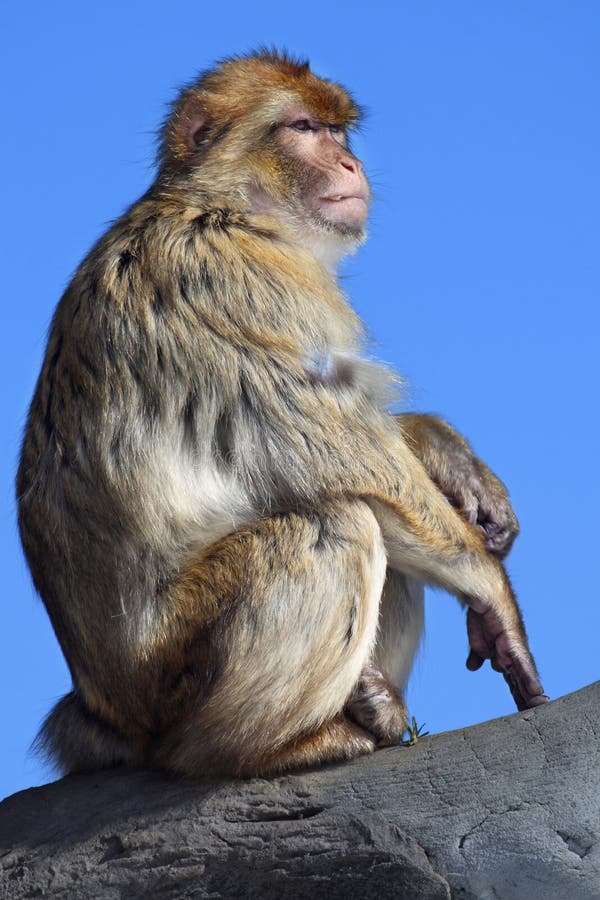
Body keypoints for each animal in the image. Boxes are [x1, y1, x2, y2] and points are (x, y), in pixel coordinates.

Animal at [17, 51, 546, 779]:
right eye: (302, 128)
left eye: (339, 129)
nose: (351, 164)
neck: (222, 206)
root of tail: (106, 716)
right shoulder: (248, 282)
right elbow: (352, 461)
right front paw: (495, 598)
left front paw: (447, 453)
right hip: (175, 671)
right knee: (338, 523)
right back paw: (277, 746)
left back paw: (368, 702)